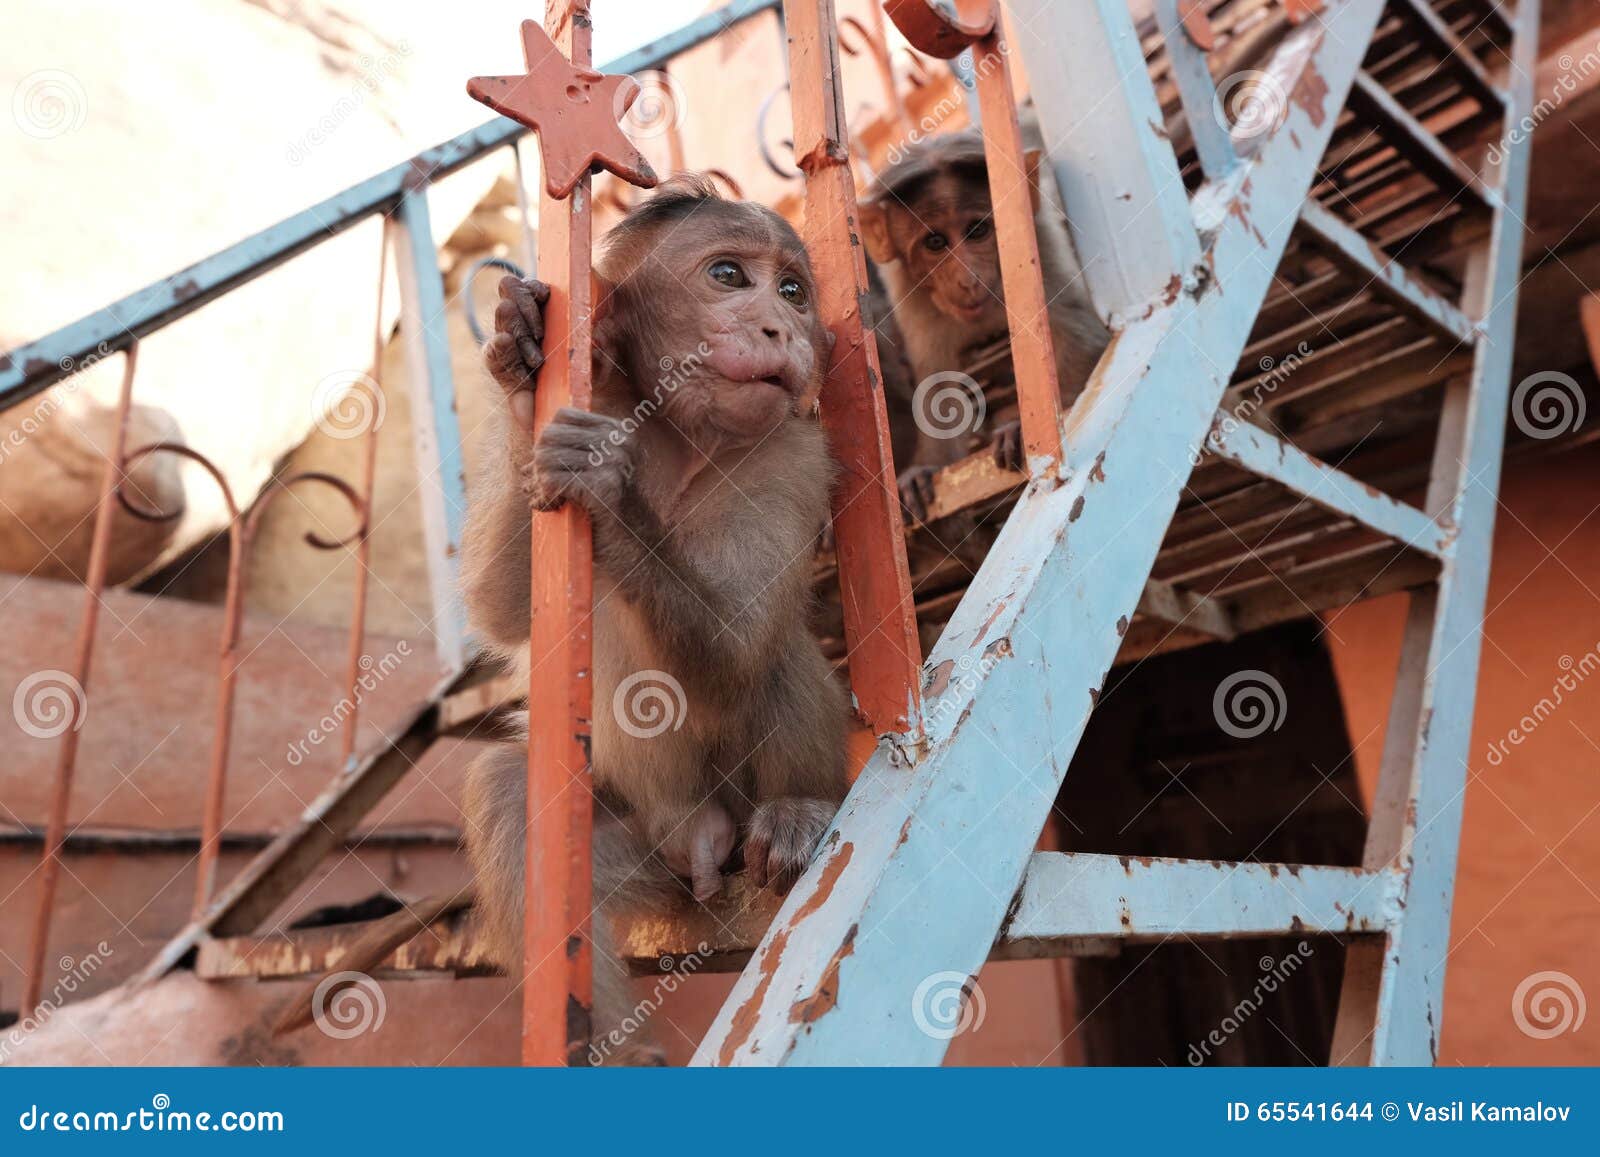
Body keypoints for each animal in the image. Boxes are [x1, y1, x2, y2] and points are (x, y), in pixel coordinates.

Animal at [457, 177, 848, 1064]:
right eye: (729, 276)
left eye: (793, 290)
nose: (780, 327)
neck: (681, 439)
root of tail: (698, 843)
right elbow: (505, 609)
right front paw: (519, 356)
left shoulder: (792, 456)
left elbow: (736, 652)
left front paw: (609, 489)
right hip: (636, 854)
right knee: (508, 790)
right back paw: (604, 1046)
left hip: (733, 825)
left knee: (775, 653)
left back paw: (802, 810)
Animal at [858, 124, 1110, 523]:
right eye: (935, 241)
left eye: (977, 230)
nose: (967, 279)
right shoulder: (910, 296)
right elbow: (937, 383)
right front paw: (924, 469)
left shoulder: (1040, 247)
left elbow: (1084, 344)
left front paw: (1027, 427)